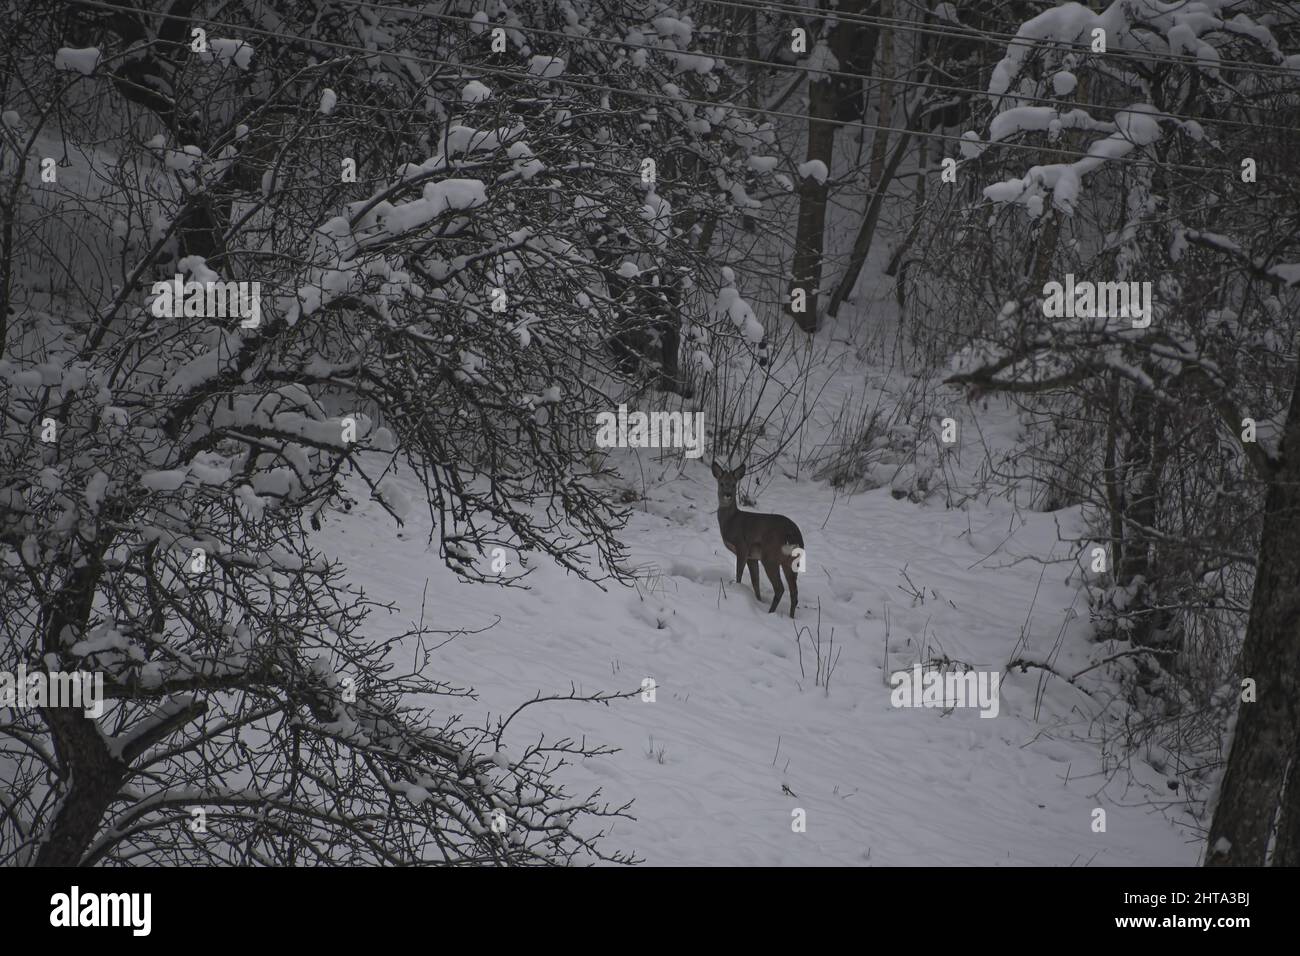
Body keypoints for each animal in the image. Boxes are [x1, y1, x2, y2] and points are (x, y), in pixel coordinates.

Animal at [711, 461, 804, 618]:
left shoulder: (742, 547)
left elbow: (739, 574)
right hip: (791, 562)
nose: (727, 495)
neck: (731, 521)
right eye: (722, 483)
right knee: (794, 592)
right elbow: (756, 582)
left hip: (770, 557)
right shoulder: (752, 557)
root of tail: (792, 534)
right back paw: (791, 618)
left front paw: (737, 590)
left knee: (780, 588)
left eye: (734, 484)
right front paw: (758, 601)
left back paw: (770, 613)